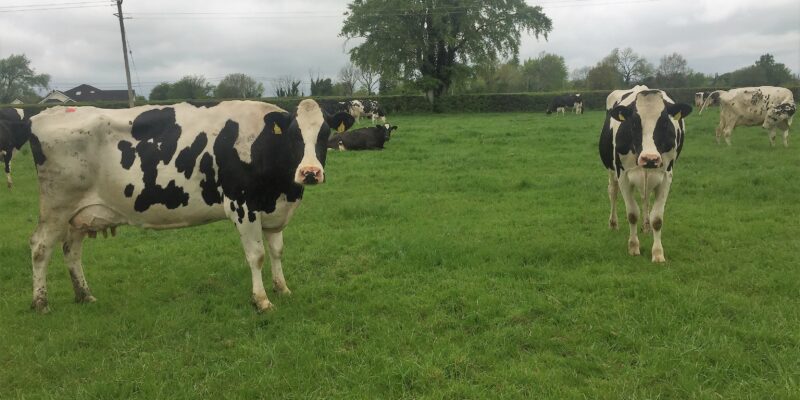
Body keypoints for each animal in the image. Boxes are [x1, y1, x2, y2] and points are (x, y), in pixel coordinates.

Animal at [26, 99, 354, 313]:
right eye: (294, 135)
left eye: (325, 133)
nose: (310, 172)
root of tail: (44, 115)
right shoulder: (243, 206)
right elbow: (257, 256)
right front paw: (261, 300)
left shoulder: (274, 211)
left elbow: (276, 252)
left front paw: (282, 288)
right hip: (56, 207)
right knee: (40, 247)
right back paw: (41, 302)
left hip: (79, 214)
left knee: (71, 251)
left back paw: (84, 295)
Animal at [599, 86, 692, 263]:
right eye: (634, 123)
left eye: (665, 123)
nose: (650, 158)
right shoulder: (623, 175)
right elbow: (632, 214)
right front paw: (633, 247)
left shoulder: (666, 176)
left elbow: (657, 218)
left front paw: (658, 253)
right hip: (612, 171)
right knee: (612, 192)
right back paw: (613, 223)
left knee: (645, 198)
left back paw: (646, 227)